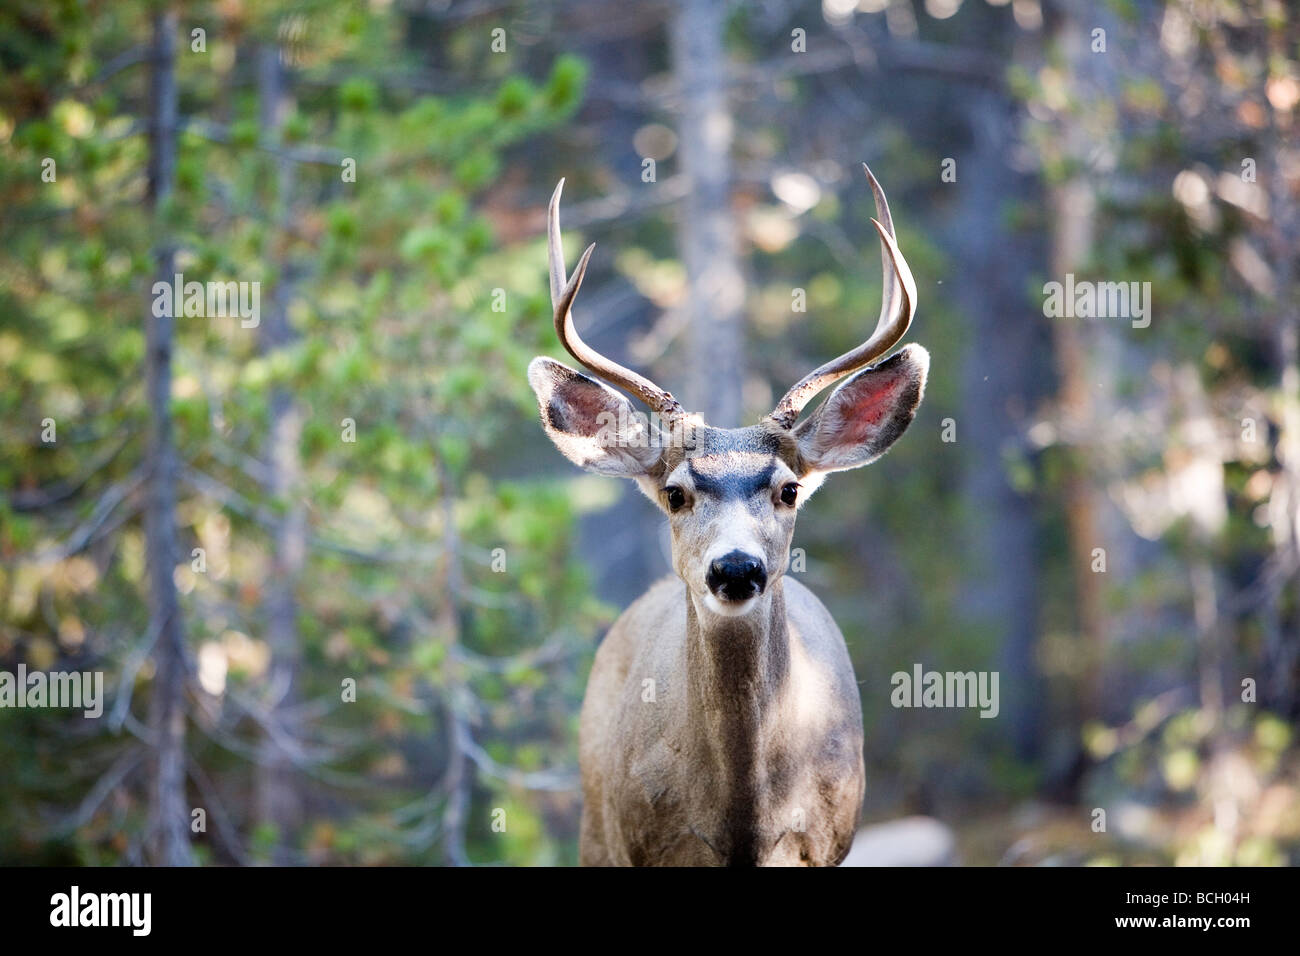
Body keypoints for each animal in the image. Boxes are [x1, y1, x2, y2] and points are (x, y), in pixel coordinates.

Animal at [527, 165, 926, 866]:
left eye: (788, 490)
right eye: (676, 493)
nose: (736, 568)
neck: (744, 818)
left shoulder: (824, 845)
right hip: (596, 828)